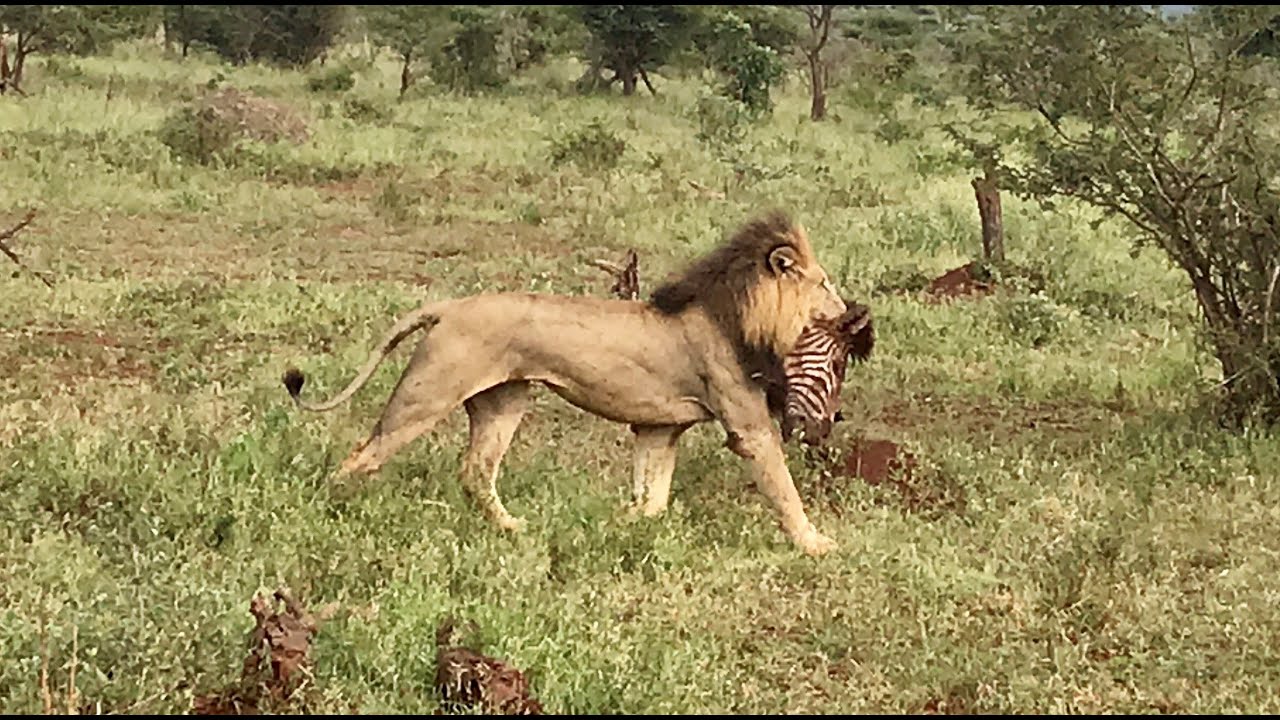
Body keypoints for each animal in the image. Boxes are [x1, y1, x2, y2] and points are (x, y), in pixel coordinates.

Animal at [281, 211, 848, 556]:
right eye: (824, 283)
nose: (849, 313)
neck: (737, 314)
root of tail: (449, 306)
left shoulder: (660, 428)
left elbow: (654, 496)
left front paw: (621, 522)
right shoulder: (747, 426)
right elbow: (783, 487)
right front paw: (816, 543)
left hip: (504, 401)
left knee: (475, 471)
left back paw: (515, 528)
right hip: (427, 394)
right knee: (363, 453)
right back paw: (325, 515)